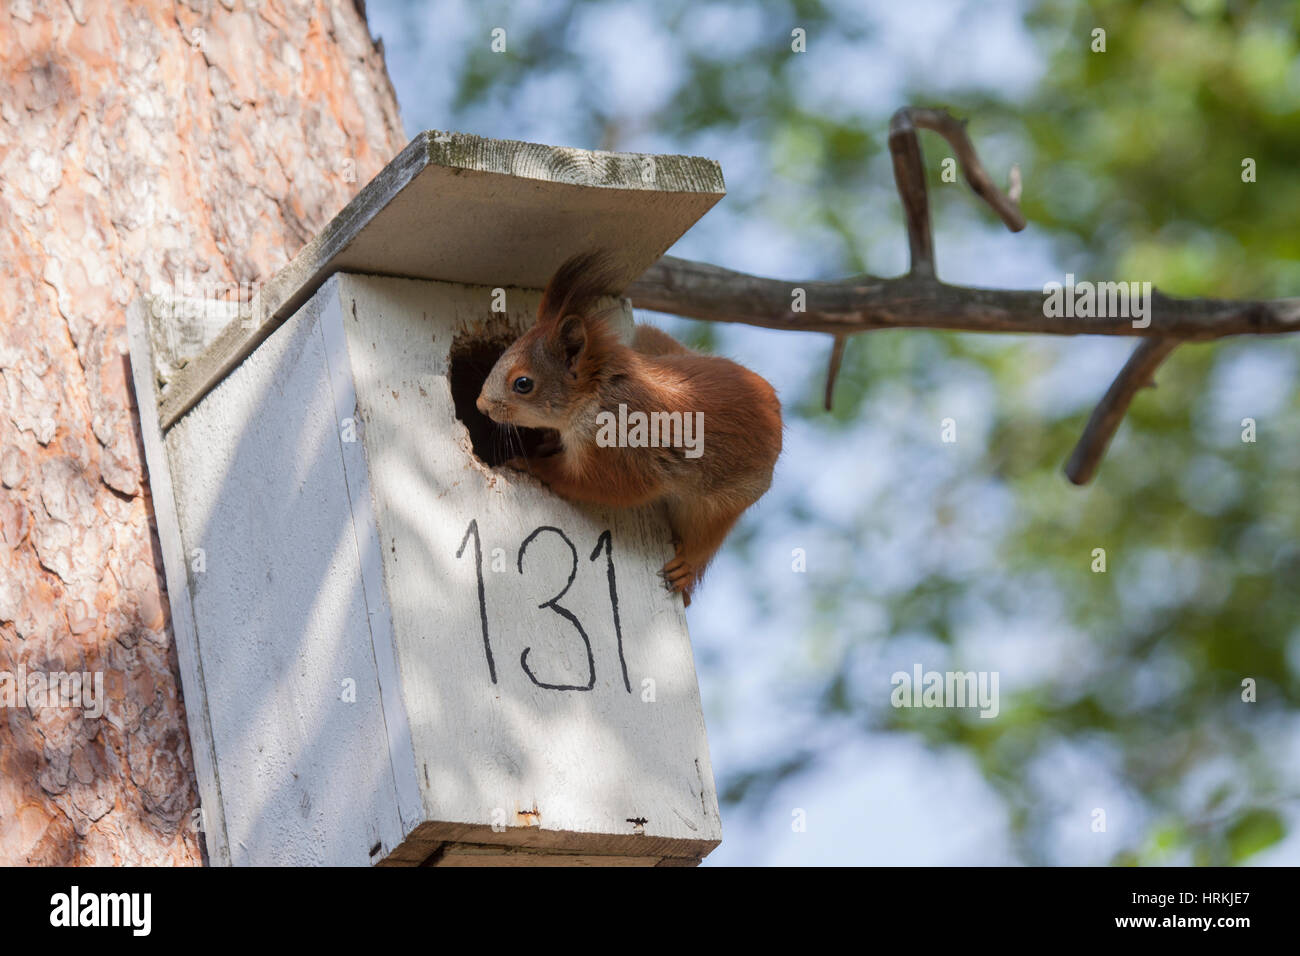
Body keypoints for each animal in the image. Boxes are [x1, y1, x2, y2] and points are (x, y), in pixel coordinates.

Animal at [475, 252, 783, 605]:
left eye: (523, 384)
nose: (480, 405)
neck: (597, 392)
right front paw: (546, 442)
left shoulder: (618, 450)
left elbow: (601, 484)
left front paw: (532, 464)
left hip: (722, 500)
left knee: (706, 536)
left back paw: (687, 566)